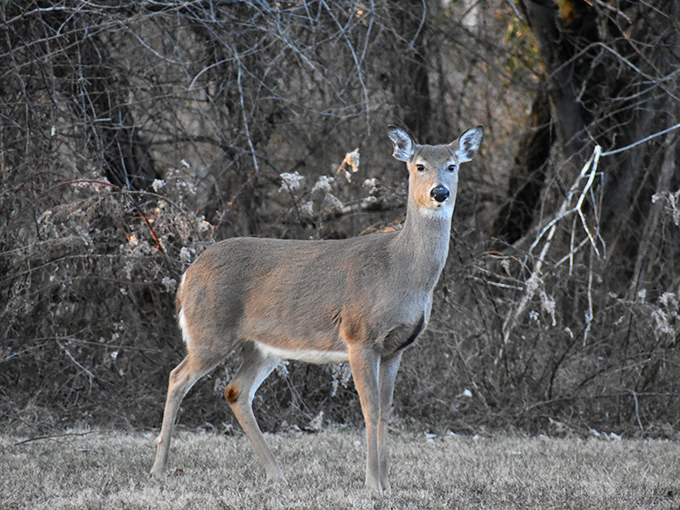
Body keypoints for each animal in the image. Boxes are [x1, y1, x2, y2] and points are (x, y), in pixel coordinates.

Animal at [149, 125, 483, 492]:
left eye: (452, 165)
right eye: (419, 166)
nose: (439, 193)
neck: (402, 269)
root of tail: (188, 275)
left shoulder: (396, 347)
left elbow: (385, 411)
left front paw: (386, 483)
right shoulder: (359, 336)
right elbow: (369, 409)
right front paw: (372, 484)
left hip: (264, 347)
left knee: (236, 391)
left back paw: (277, 475)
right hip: (209, 332)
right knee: (177, 378)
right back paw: (159, 470)